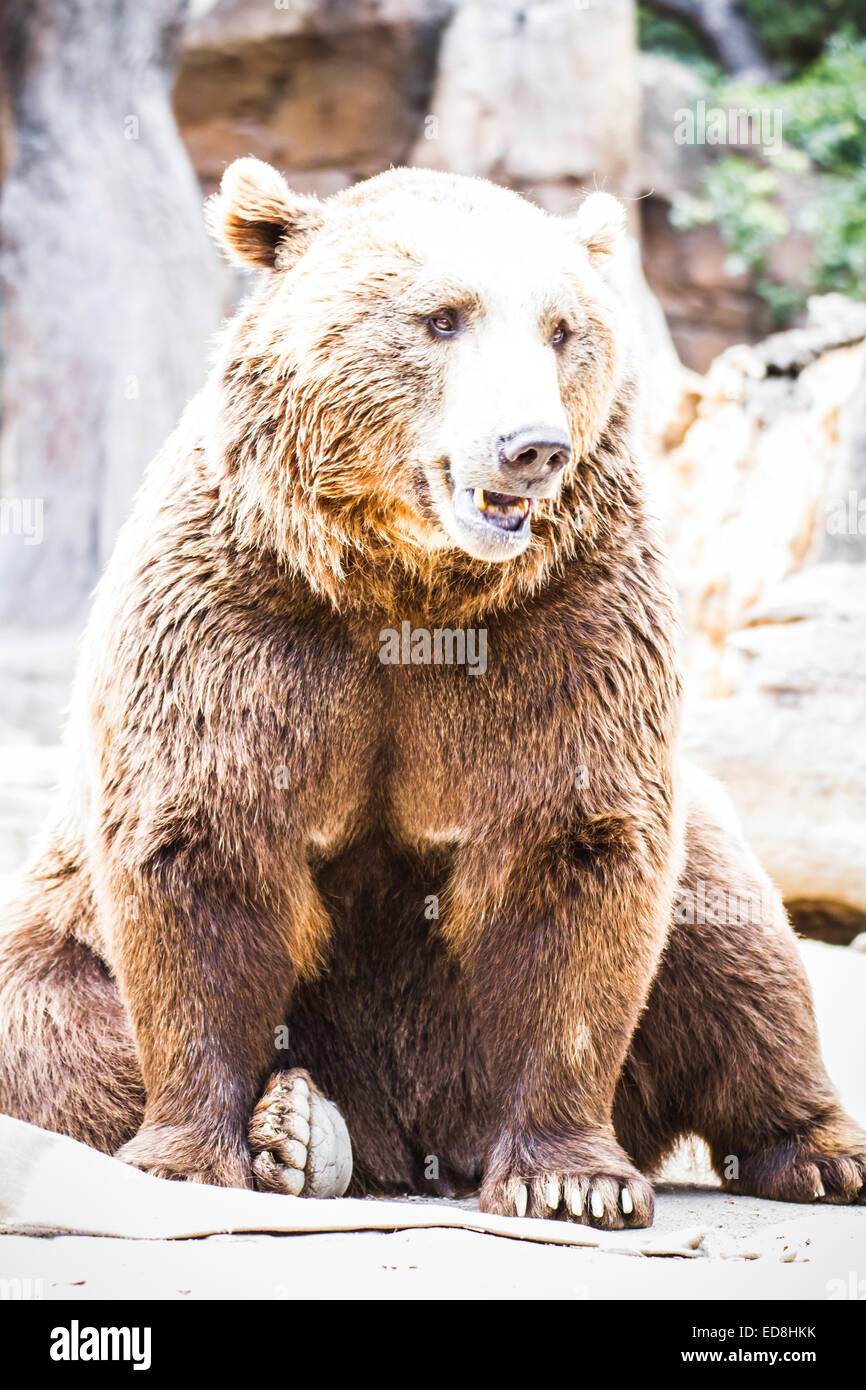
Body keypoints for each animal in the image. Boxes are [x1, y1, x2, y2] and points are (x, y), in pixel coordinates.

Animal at [0, 157, 864, 1228]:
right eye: (442, 318)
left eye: (562, 329)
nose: (531, 446)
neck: (406, 585)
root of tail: (418, 1143)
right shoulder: (242, 621)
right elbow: (202, 848)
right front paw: (187, 1157)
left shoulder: (563, 626)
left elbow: (573, 853)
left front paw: (572, 1180)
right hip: (57, 934)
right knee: (54, 1041)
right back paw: (301, 1132)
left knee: (735, 947)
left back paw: (818, 1154)